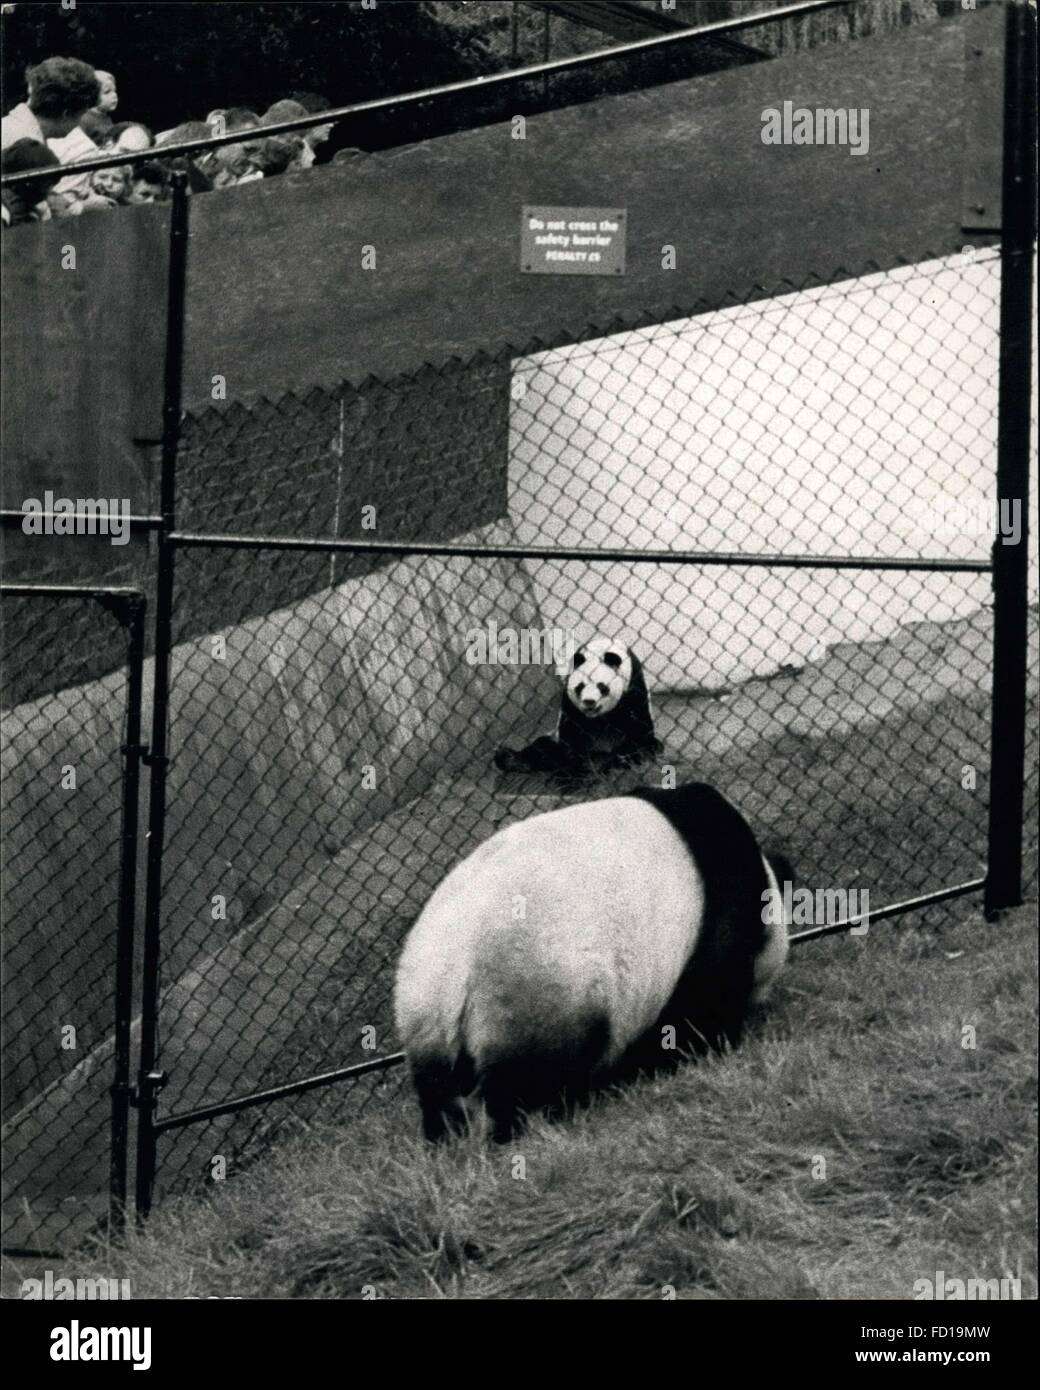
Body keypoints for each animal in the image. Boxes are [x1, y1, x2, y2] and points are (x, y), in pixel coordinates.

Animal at [393, 781, 791, 1142]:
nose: (766, 999)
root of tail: (450, 969)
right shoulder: (721, 907)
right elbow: (700, 1006)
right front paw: (705, 1050)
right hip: (537, 984)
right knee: (533, 1074)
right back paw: (529, 1122)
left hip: (423, 1016)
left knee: (437, 1087)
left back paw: (445, 1137)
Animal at [494, 637, 662, 778]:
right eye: (580, 687)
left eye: (602, 687)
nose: (589, 702)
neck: (600, 649)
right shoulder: (569, 697)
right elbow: (571, 730)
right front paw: (579, 764)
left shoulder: (633, 685)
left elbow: (638, 724)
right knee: (542, 749)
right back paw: (510, 759)